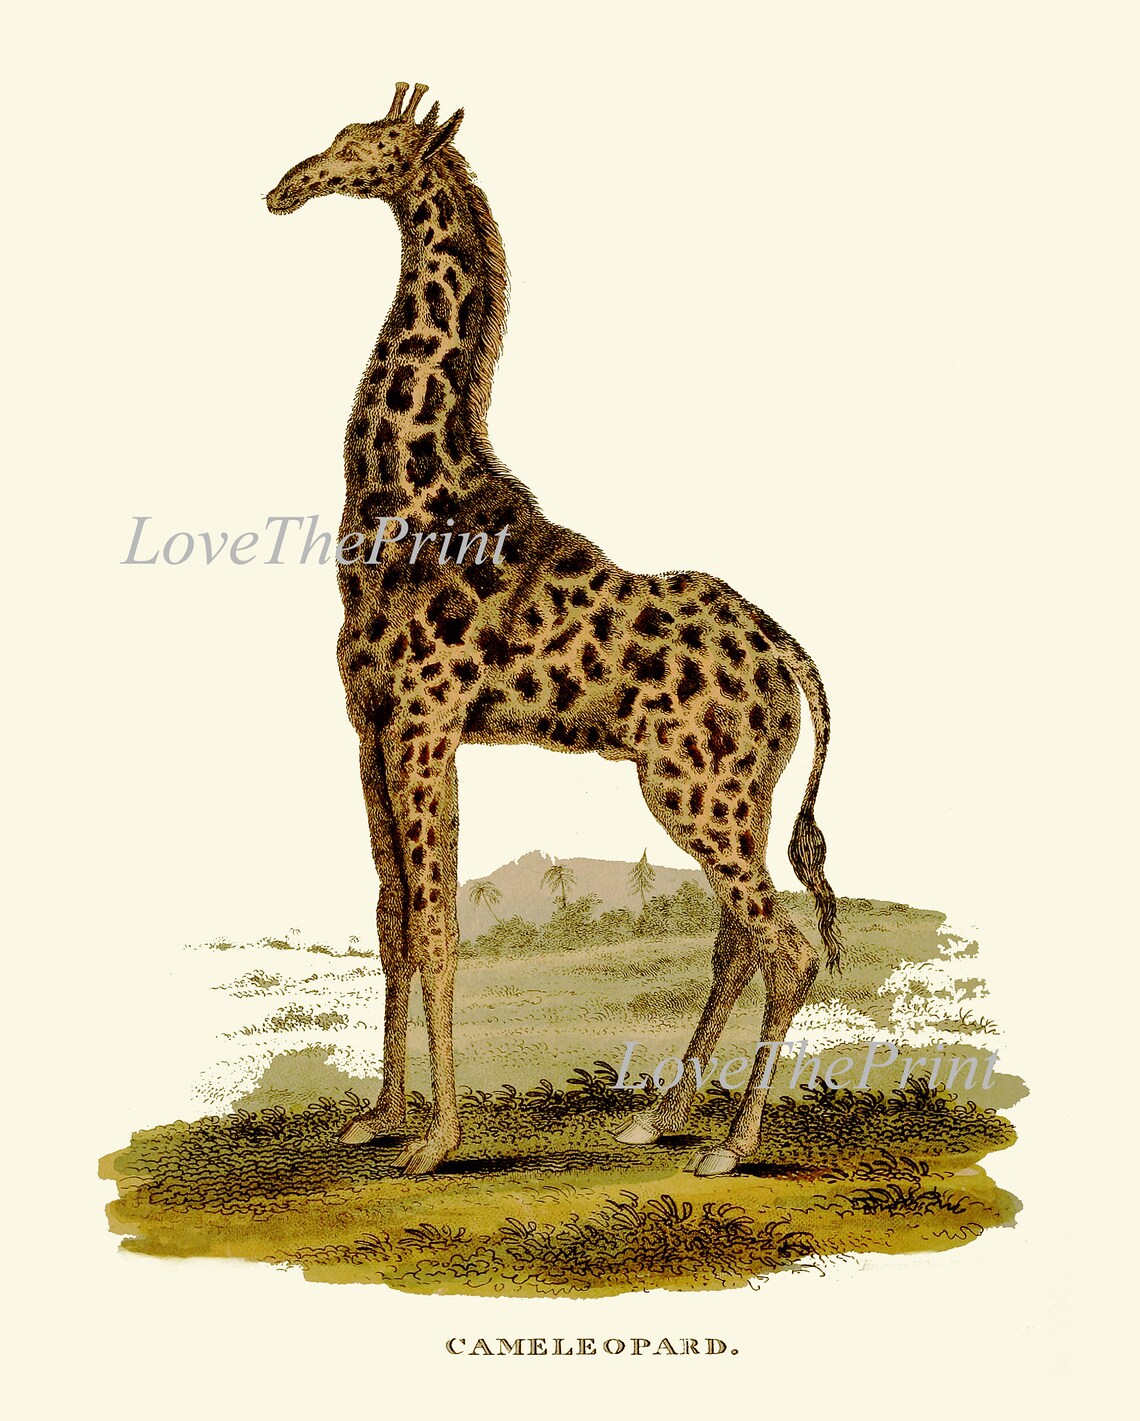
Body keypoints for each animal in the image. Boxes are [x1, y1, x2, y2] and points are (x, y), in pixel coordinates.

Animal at [266, 82, 842, 1178]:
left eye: (365, 147)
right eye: (336, 136)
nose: (284, 186)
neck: (407, 495)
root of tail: (790, 656)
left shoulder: (425, 727)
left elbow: (440, 930)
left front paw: (435, 1140)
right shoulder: (371, 728)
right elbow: (394, 921)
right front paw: (380, 1116)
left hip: (695, 791)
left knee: (788, 947)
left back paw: (729, 1144)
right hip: (735, 795)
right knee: (739, 942)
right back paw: (659, 1116)